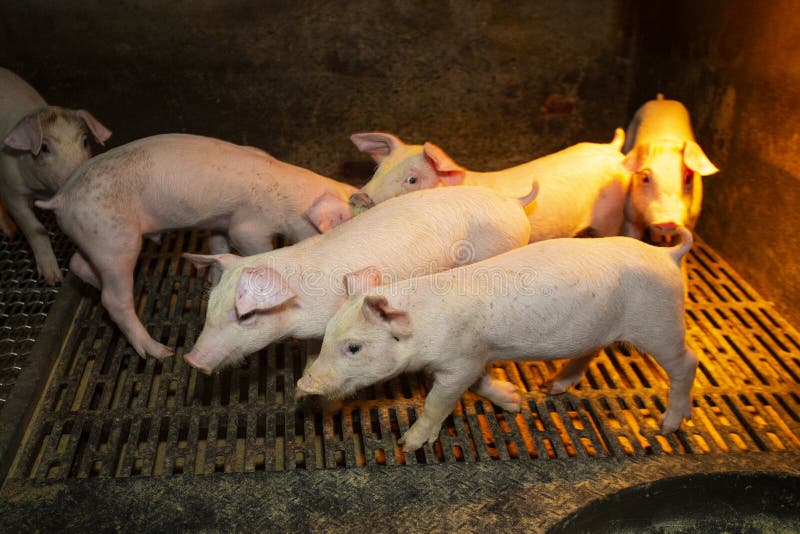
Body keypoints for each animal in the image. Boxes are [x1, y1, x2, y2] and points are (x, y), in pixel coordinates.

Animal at [1, 67, 112, 284]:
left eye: (85, 141)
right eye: (44, 147)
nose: (81, 177)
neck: (41, 190)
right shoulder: (12, 190)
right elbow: (35, 229)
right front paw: (53, 278)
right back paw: (10, 232)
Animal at [35, 133, 358, 359]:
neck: (290, 199)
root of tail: (61, 198)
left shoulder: (221, 221)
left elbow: (217, 246)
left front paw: (213, 281)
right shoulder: (248, 225)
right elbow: (252, 246)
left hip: (93, 238)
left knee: (78, 263)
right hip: (114, 238)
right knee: (114, 299)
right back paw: (159, 351)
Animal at [298, 227, 698, 451]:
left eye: (353, 347)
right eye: (326, 337)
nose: (304, 384)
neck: (422, 325)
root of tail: (667, 253)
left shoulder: (460, 361)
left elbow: (437, 402)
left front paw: (408, 445)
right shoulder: (477, 356)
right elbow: (482, 382)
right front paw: (516, 402)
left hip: (659, 323)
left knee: (687, 362)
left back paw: (667, 425)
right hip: (603, 325)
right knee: (592, 351)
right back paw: (551, 387)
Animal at [622, 94, 719, 243]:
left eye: (688, 178)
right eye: (645, 178)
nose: (667, 222)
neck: (666, 143)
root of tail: (662, 100)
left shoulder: (692, 221)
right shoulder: (630, 214)